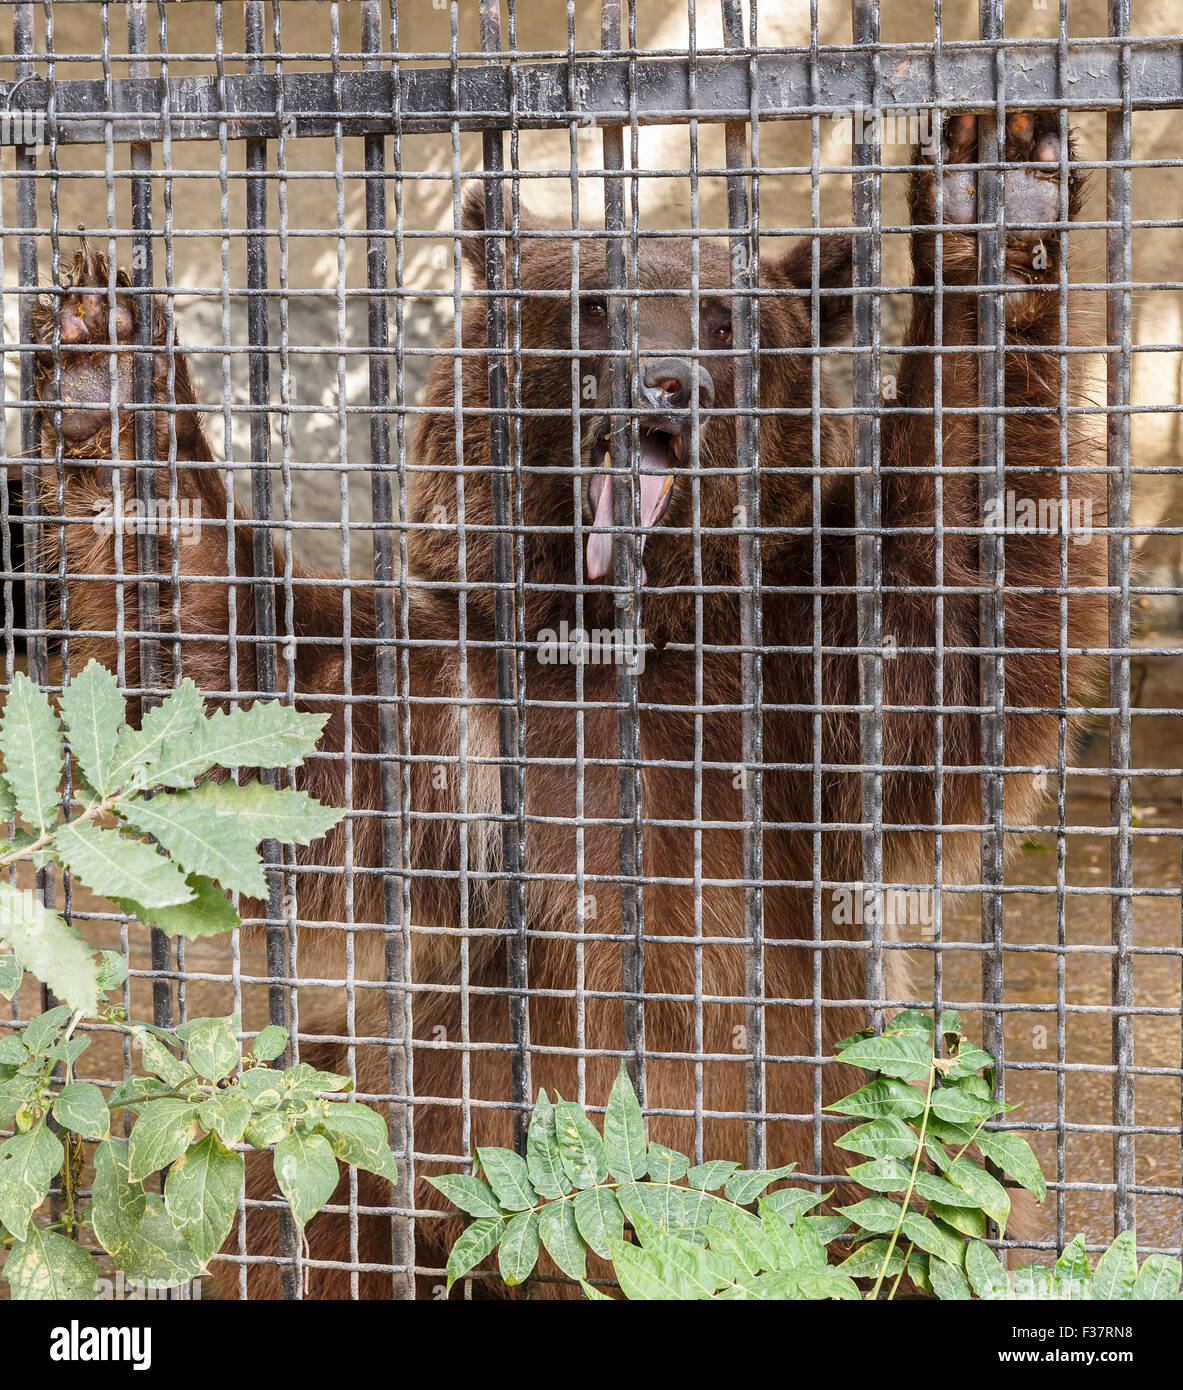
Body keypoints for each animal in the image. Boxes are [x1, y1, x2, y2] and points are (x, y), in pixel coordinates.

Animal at [28, 111, 1105, 1298]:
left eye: (726, 318)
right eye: (594, 299)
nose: (666, 382)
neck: (607, 634)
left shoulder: (779, 700)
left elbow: (952, 616)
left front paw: (994, 190)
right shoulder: (441, 717)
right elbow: (215, 668)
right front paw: (101, 342)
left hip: (844, 1175)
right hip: (408, 1164)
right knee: (290, 1193)